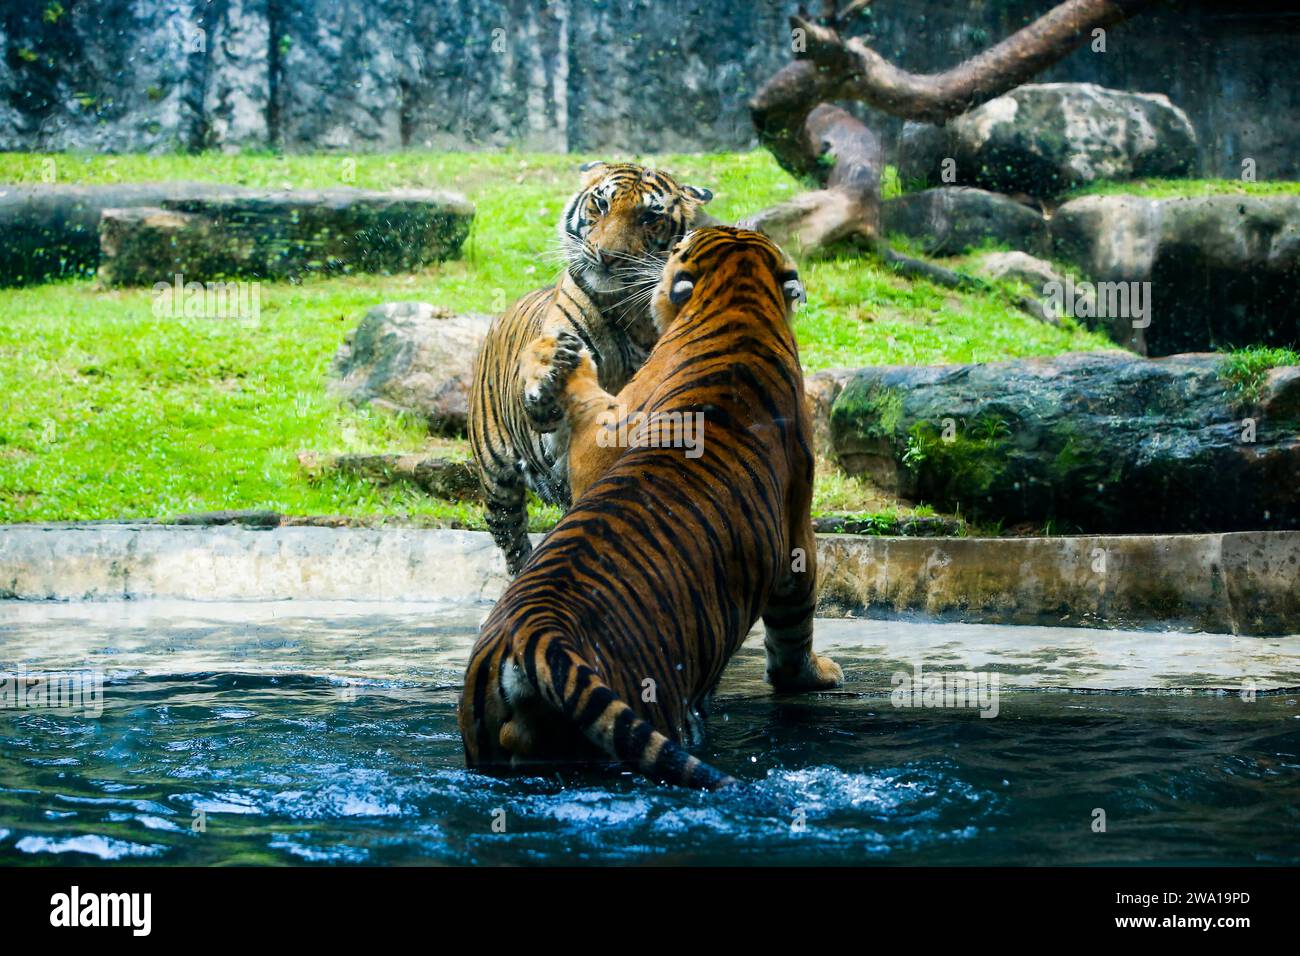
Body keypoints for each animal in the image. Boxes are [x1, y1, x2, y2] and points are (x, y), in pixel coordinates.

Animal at [467, 161, 715, 575]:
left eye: (649, 217)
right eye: (601, 204)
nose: (607, 256)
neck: (629, 313)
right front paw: (546, 385)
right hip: (496, 477)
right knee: (511, 536)